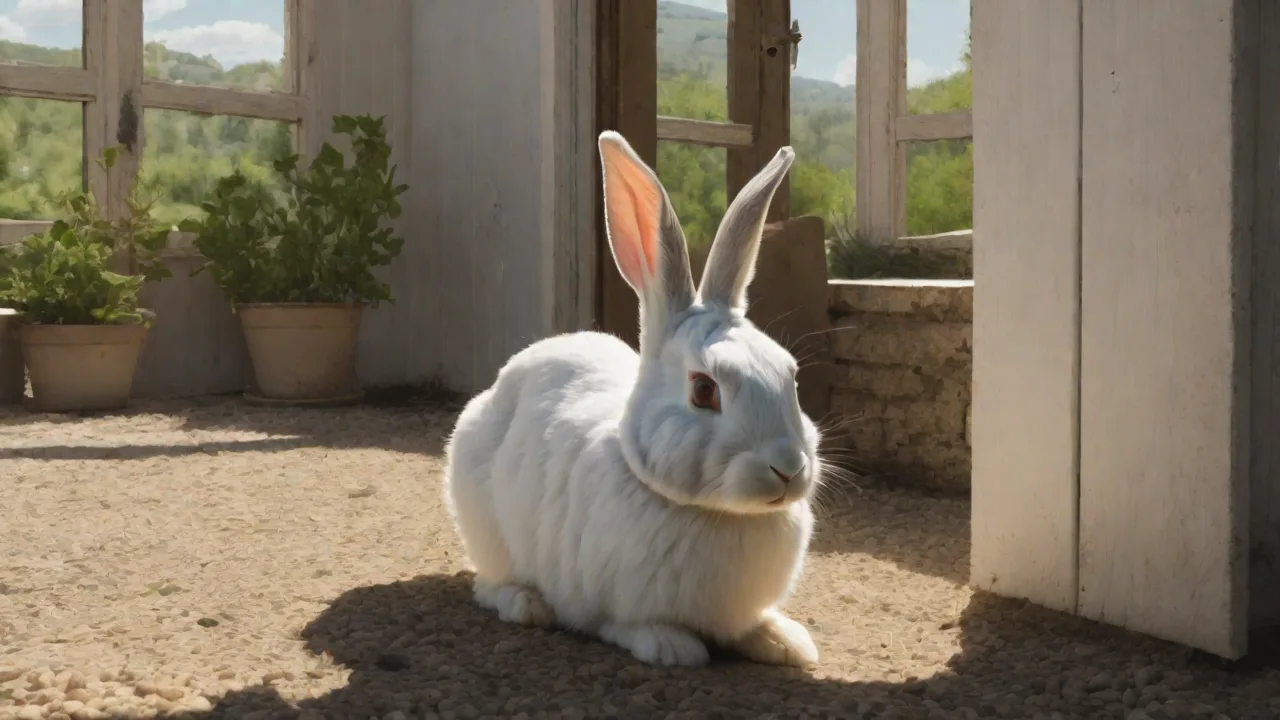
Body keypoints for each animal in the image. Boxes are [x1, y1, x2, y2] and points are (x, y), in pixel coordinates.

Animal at [442, 130, 821, 668]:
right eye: (704, 390)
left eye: (791, 375)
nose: (788, 468)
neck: (716, 513)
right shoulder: (603, 602)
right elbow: (624, 625)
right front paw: (672, 648)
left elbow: (752, 626)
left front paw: (787, 642)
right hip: (486, 531)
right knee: (487, 585)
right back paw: (525, 604)